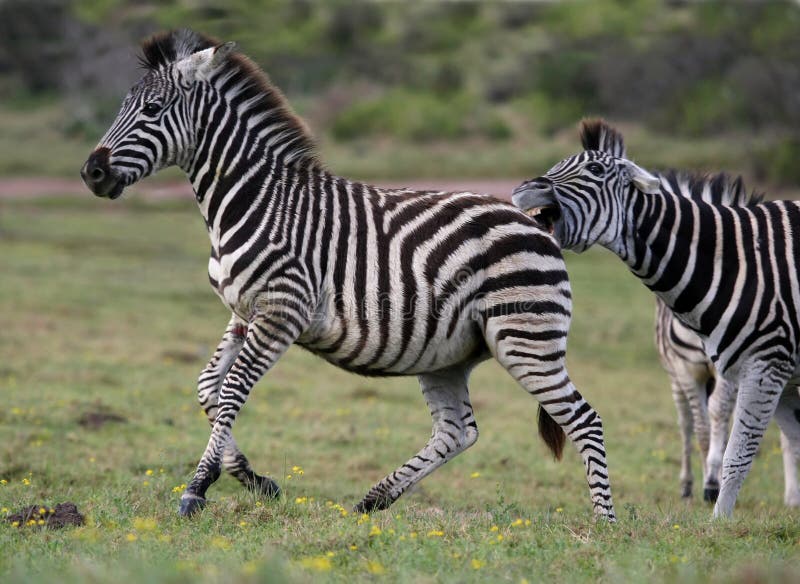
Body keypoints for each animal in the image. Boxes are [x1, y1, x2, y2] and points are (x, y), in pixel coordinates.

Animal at [79, 30, 615, 520]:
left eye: (152, 110)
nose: (91, 173)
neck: (255, 201)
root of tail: (536, 223)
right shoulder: (243, 313)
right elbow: (208, 386)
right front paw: (254, 479)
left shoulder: (282, 311)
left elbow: (231, 391)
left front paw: (196, 489)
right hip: (448, 354)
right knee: (458, 431)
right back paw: (374, 499)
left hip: (526, 339)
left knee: (584, 419)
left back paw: (602, 527)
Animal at [512, 118, 800, 517]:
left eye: (595, 169)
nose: (522, 189)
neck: (738, 265)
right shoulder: (713, 368)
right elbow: (709, 428)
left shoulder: (760, 365)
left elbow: (730, 438)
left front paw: (716, 501)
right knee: (689, 422)